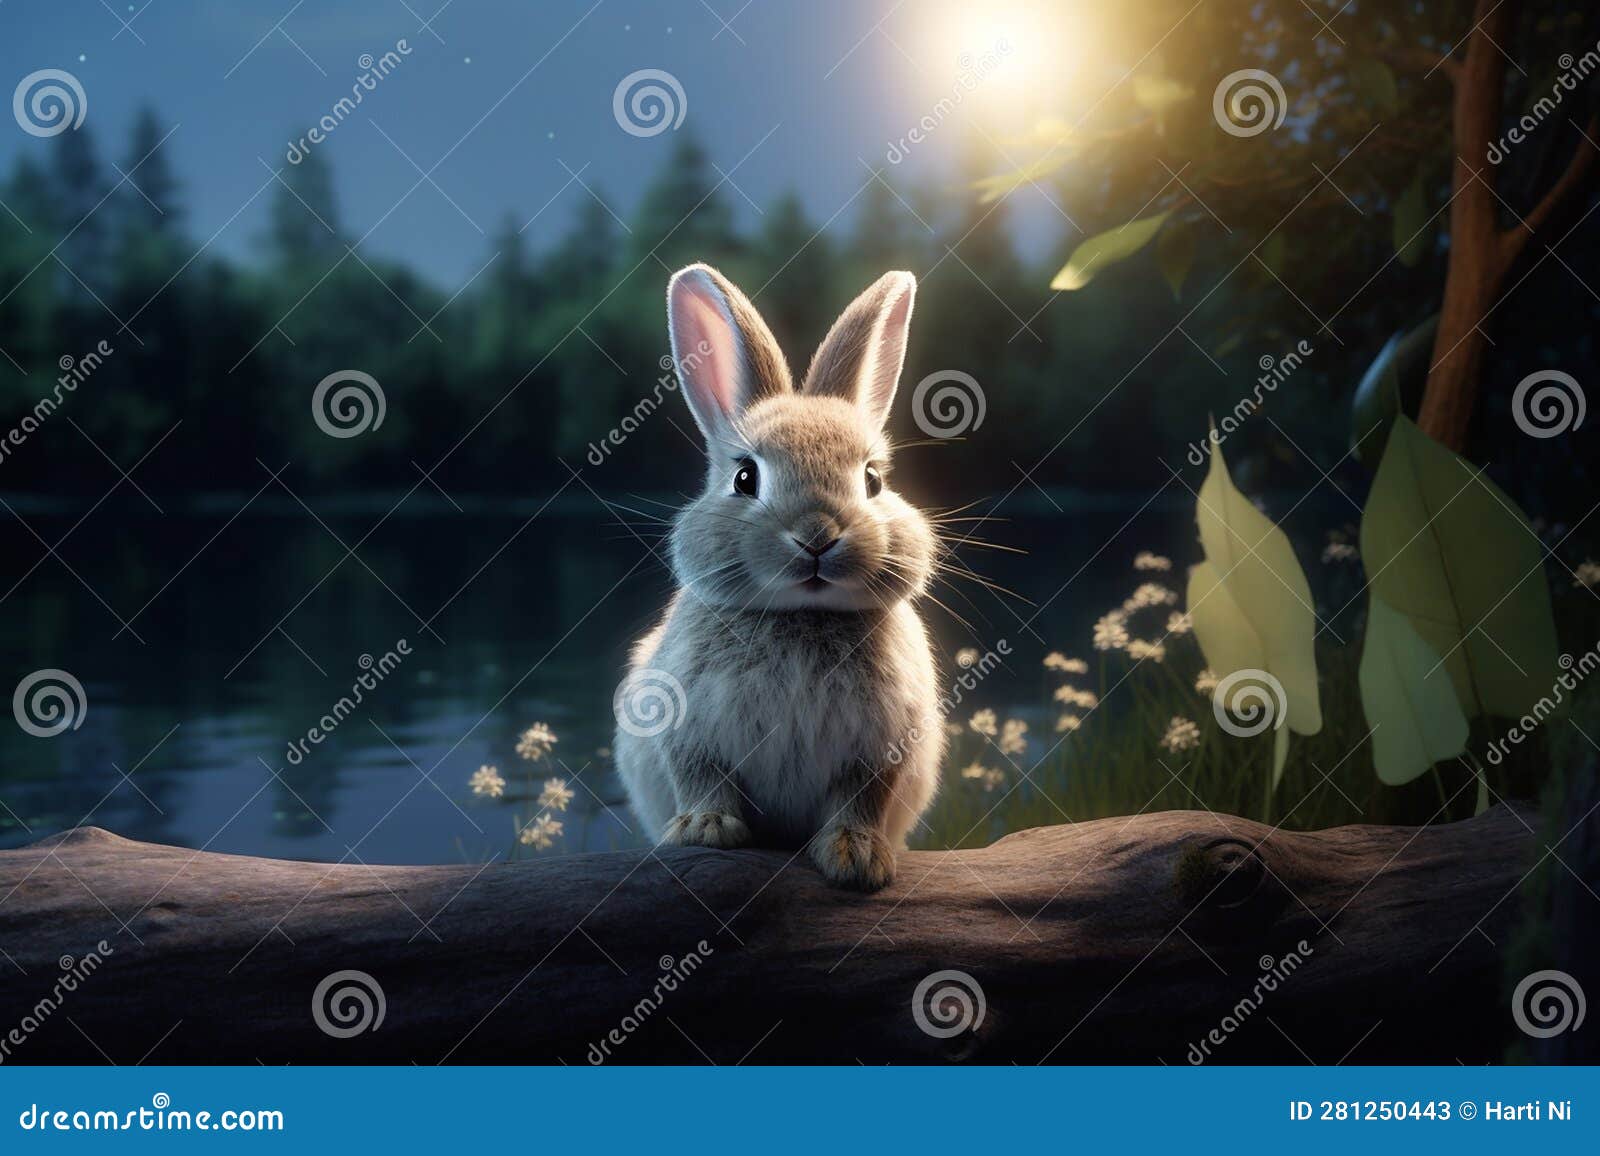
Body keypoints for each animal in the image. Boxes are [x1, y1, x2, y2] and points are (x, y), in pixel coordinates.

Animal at [614, 263, 945, 891]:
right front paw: (705, 829)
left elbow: (860, 799)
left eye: (873, 481)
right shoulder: (687, 728)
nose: (817, 535)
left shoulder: (880, 748)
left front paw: (856, 855)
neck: (801, 615)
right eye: (745, 478)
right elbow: (702, 777)